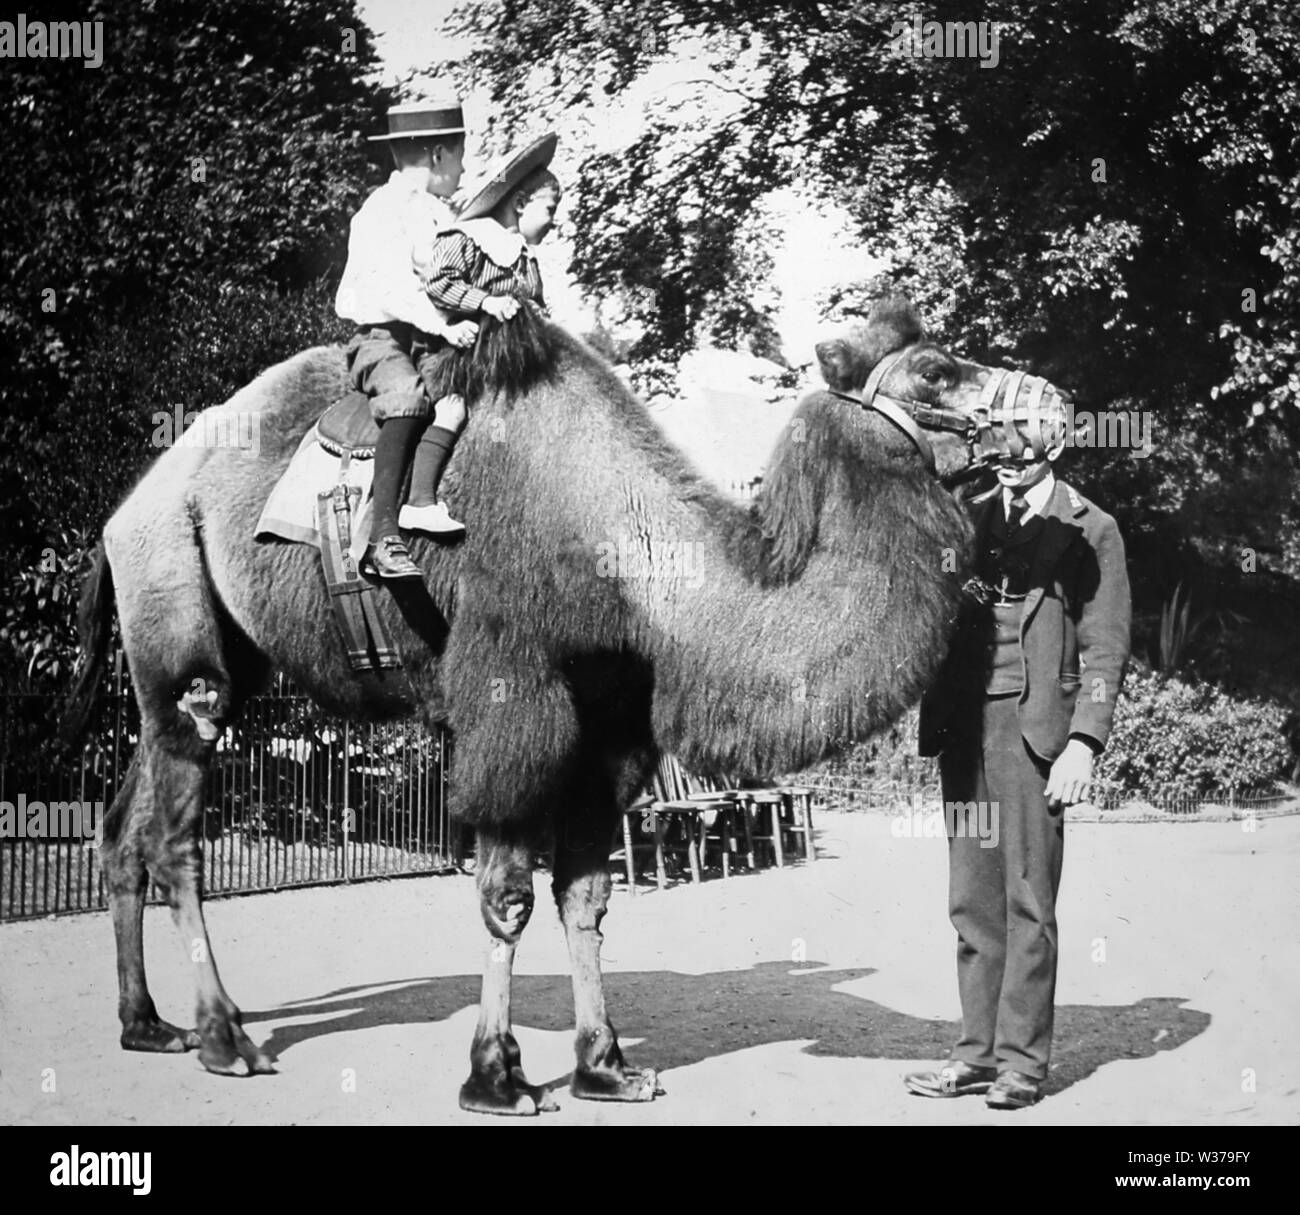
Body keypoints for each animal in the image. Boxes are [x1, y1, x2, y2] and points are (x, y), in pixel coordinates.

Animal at [64, 296, 1051, 1115]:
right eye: (936, 372)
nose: (1054, 399)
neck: (634, 566)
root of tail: (123, 512)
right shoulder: (515, 698)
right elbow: (506, 895)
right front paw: (497, 1077)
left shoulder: (608, 731)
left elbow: (588, 895)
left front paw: (605, 1066)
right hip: (177, 611)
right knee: (177, 834)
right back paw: (225, 1038)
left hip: (207, 652)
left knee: (120, 825)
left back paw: (146, 1023)